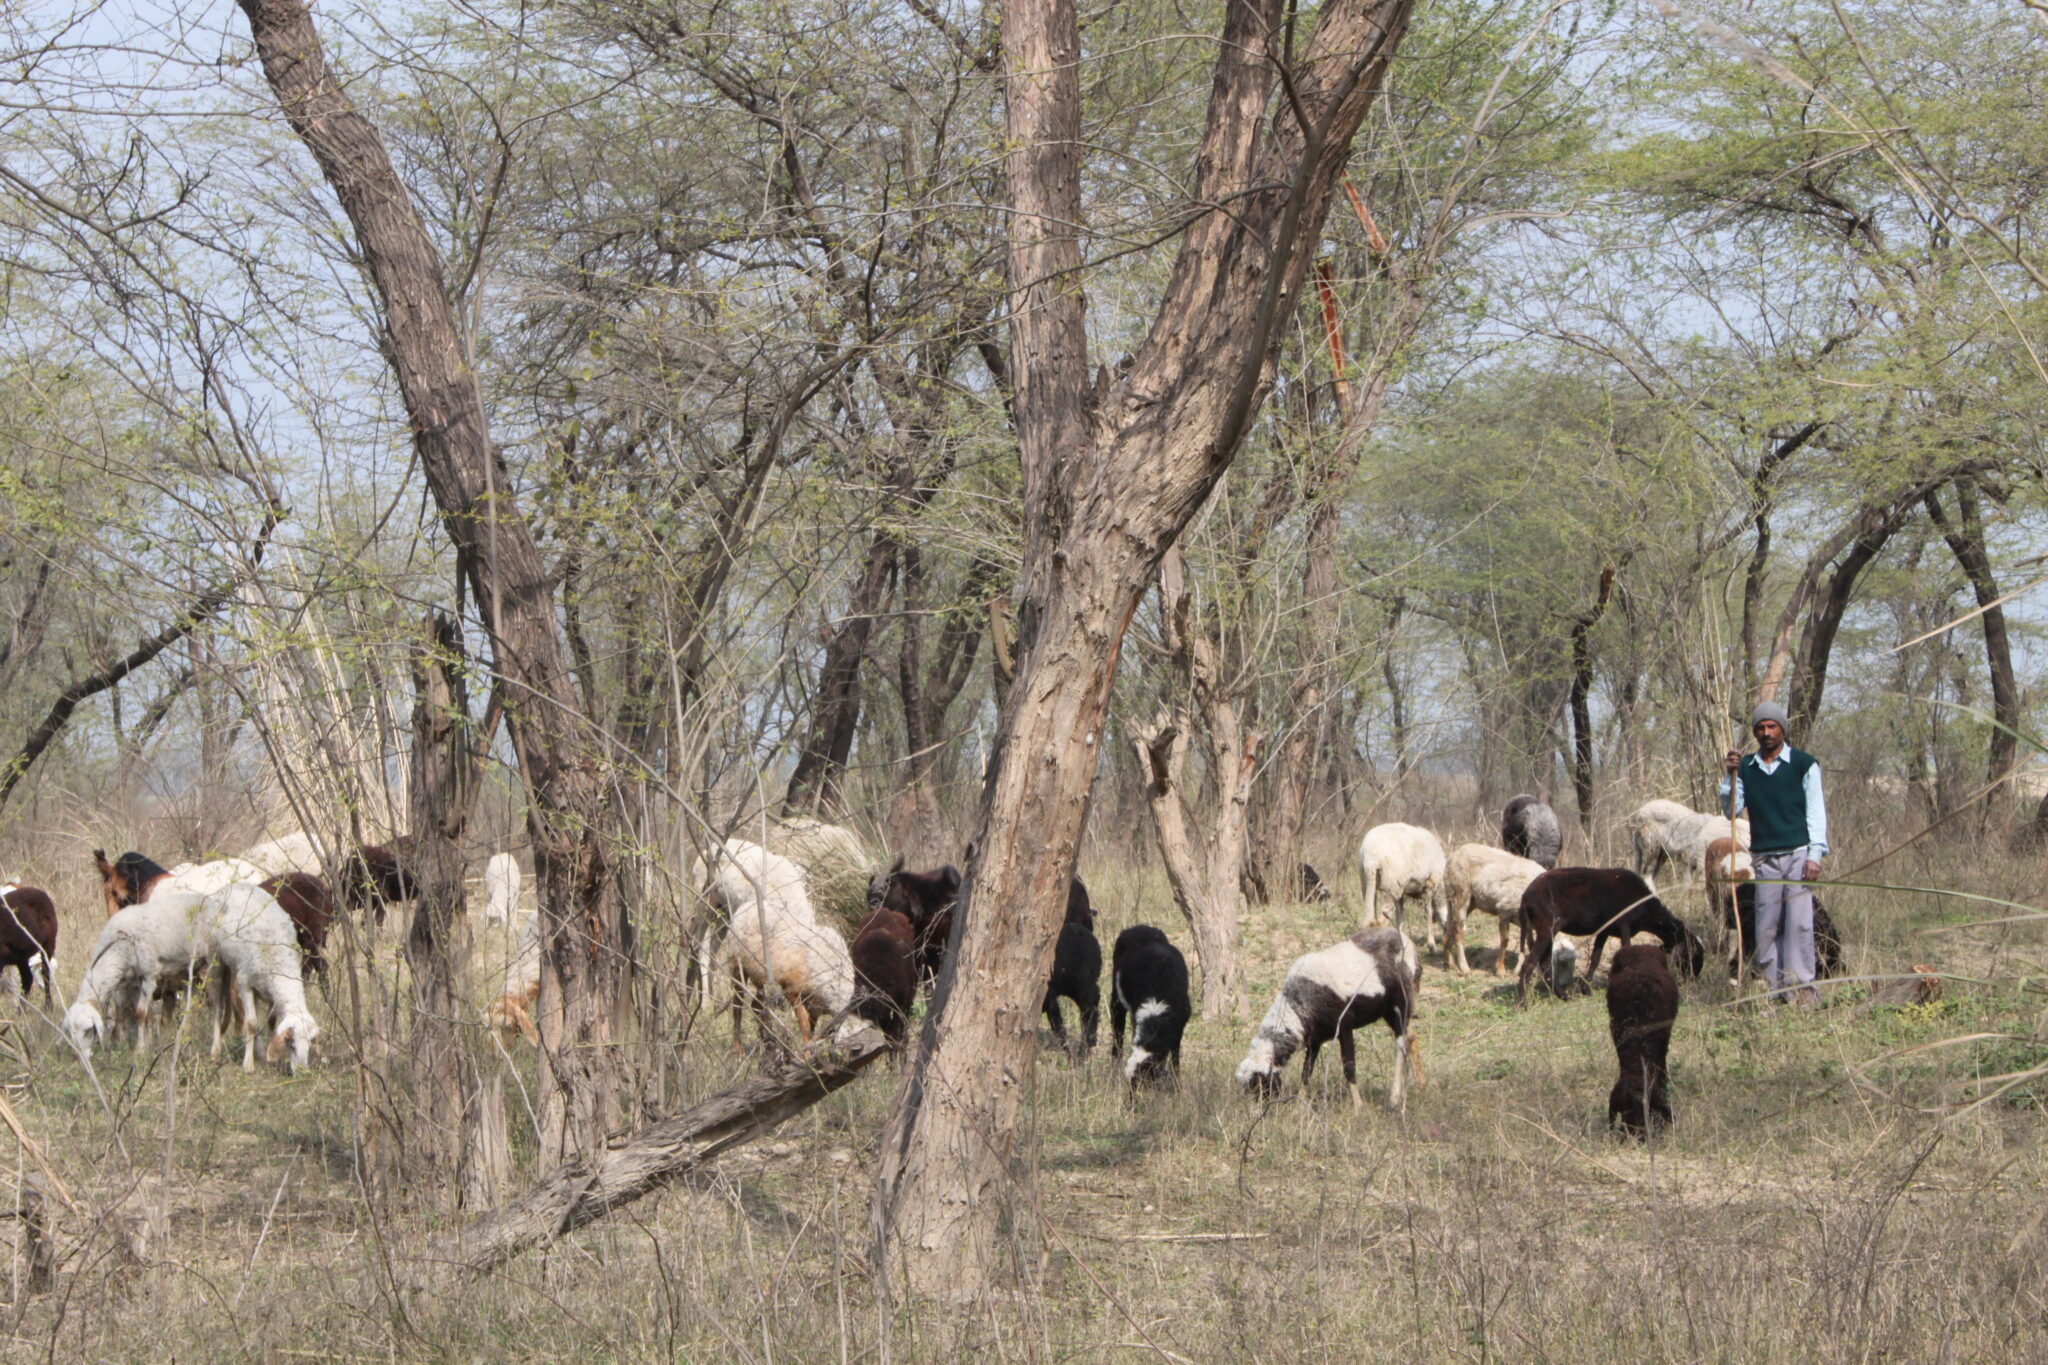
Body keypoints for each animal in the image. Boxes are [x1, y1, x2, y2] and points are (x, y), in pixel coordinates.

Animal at [1110, 925, 1190, 1087]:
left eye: (1145, 1081)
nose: (1132, 1095)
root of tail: (1140, 927)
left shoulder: (1179, 1026)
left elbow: (1175, 1057)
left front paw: (1176, 1083)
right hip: (1117, 997)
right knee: (1117, 1033)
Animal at [1234, 925, 1423, 1110]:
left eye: (1260, 1085)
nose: (1256, 1114)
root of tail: (1406, 940)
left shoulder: (1344, 1028)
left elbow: (1349, 1067)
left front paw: (1358, 1108)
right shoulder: (1314, 1040)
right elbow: (1306, 1071)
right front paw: (1300, 1105)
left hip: (1401, 1003)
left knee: (1401, 1046)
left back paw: (1394, 1099)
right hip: (1387, 1011)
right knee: (1410, 1038)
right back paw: (1414, 1087)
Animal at [1443, 843, 1547, 975]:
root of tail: (1453, 856)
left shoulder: (1527, 923)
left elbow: (1530, 944)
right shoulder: (1505, 912)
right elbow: (1505, 940)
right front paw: (1500, 970)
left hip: (1465, 901)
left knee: (1449, 928)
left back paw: (1450, 963)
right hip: (1461, 893)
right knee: (1458, 930)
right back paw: (1464, 967)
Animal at [1517, 867, 1706, 1003]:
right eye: (1691, 954)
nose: (1693, 979)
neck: (1648, 910)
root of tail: (1525, 897)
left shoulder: (1605, 930)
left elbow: (1596, 957)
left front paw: (1586, 989)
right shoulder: (1624, 925)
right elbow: (1626, 949)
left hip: (1548, 930)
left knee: (1545, 964)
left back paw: (1563, 996)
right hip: (1546, 927)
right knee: (1529, 964)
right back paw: (1522, 1002)